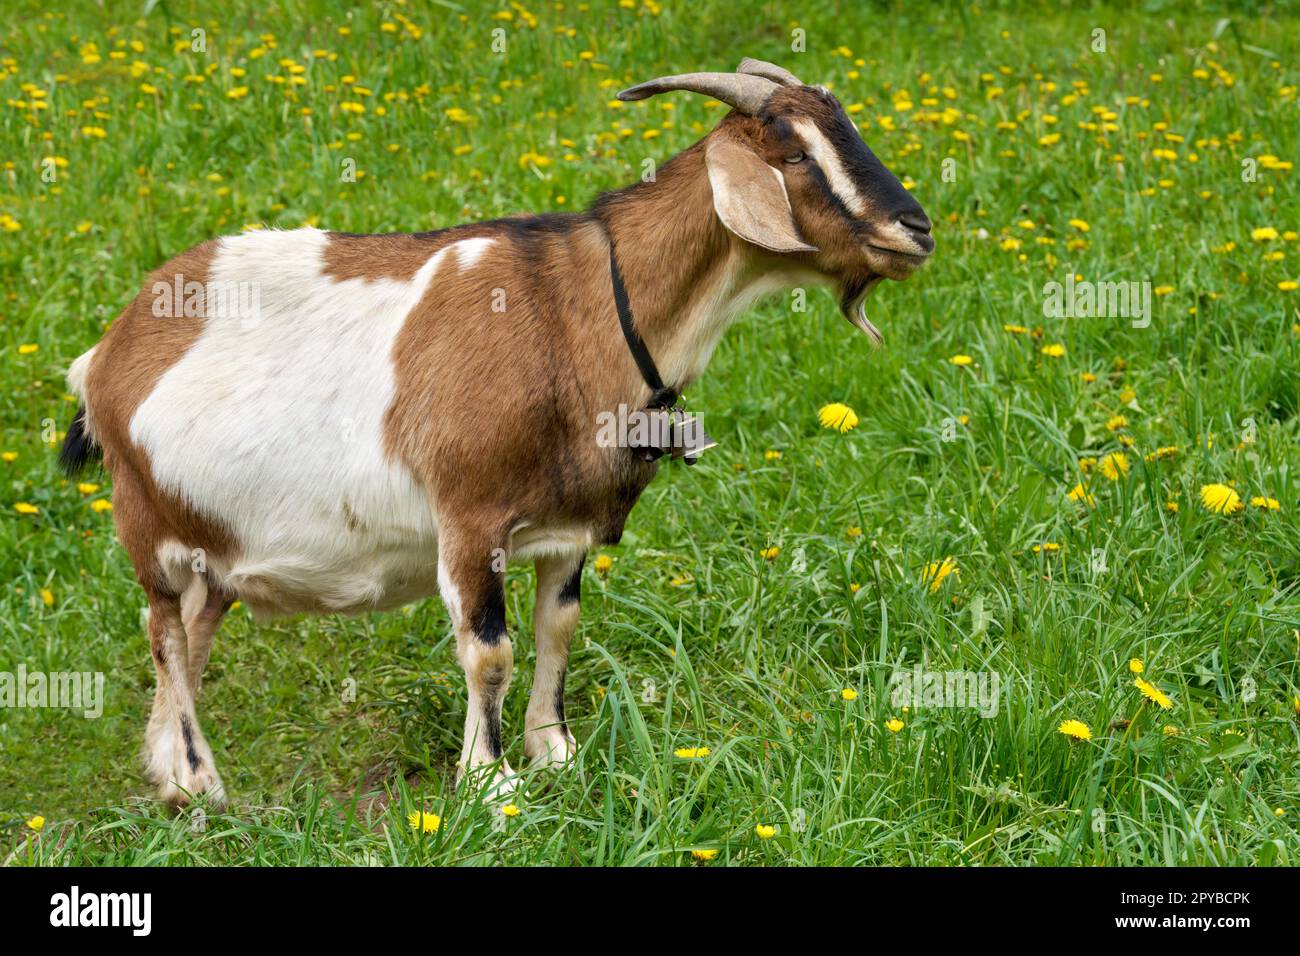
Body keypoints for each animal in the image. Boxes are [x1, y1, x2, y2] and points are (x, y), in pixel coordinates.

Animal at [62, 58, 933, 807]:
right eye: (793, 147)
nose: (915, 228)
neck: (583, 310)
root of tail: (105, 351)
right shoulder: (469, 518)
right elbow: (490, 650)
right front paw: (490, 785)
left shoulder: (568, 526)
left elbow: (559, 628)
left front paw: (556, 751)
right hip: (146, 523)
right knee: (163, 632)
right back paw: (202, 784)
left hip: (214, 536)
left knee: (192, 631)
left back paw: (166, 772)